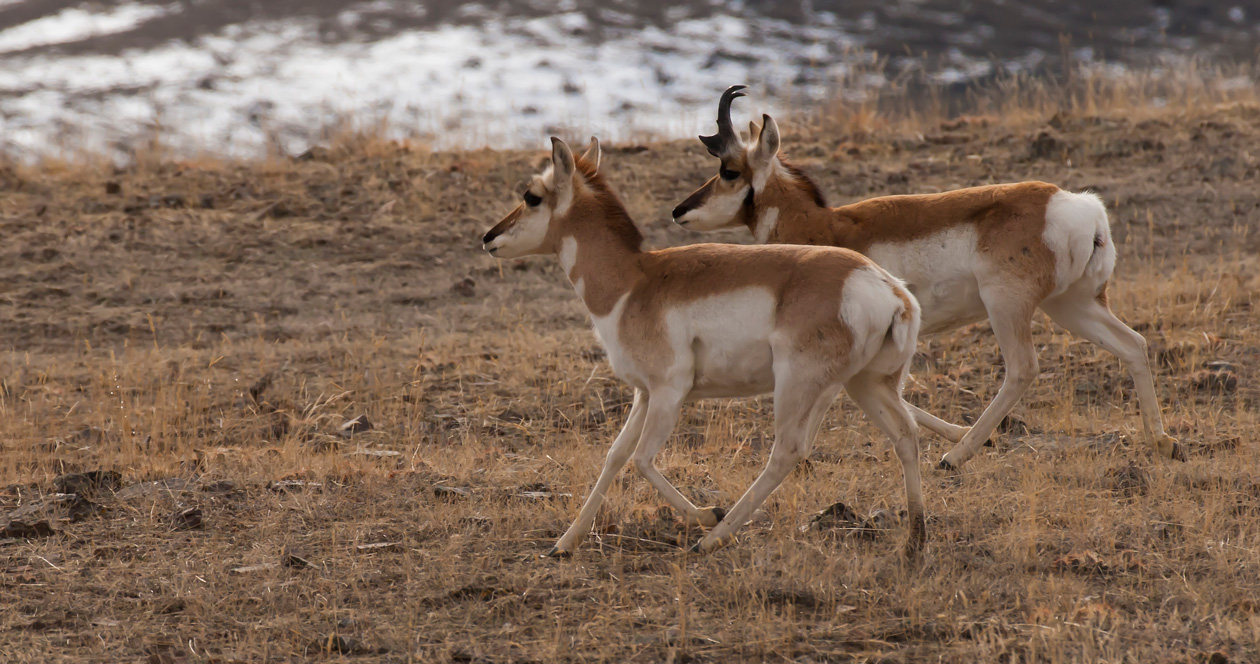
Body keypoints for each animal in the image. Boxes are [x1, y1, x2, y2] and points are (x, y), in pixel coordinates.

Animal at [482, 136, 926, 557]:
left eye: (531, 196)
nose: (488, 237)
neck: (633, 282)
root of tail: (889, 289)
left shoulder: (669, 392)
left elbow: (641, 459)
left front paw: (707, 513)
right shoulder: (644, 394)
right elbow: (615, 456)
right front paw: (564, 543)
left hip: (797, 387)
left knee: (787, 450)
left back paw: (713, 538)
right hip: (865, 384)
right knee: (905, 434)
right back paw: (915, 540)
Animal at [671, 86, 1184, 471]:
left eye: (728, 170)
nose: (678, 211)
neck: (824, 226)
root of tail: (1075, 203)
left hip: (1007, 306)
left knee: (1023, 368)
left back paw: (957, 456)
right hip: (1072, 306)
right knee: (1133, 344)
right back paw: (1164, 442)